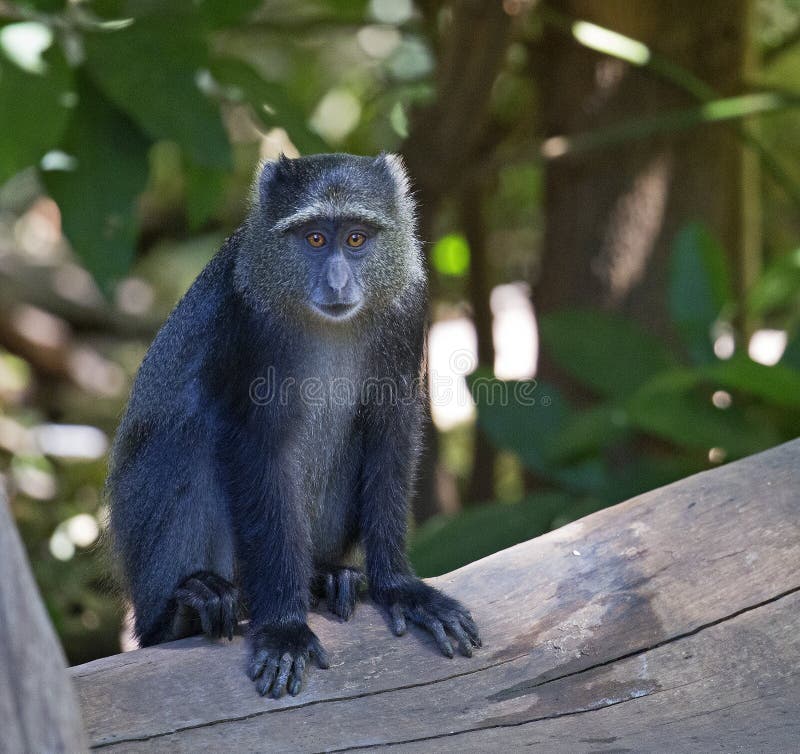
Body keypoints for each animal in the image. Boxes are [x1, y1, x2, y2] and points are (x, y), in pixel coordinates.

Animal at [106, 153, 481, 698]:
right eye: (315, 239)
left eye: (356, 239)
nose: (338, 284)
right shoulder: (249, 322)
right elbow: (259, 449)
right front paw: (284, 628)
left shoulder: (407, 311)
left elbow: (389, 434)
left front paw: (400, 587)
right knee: (189, 437)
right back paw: (182, 613)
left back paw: (327, 578)